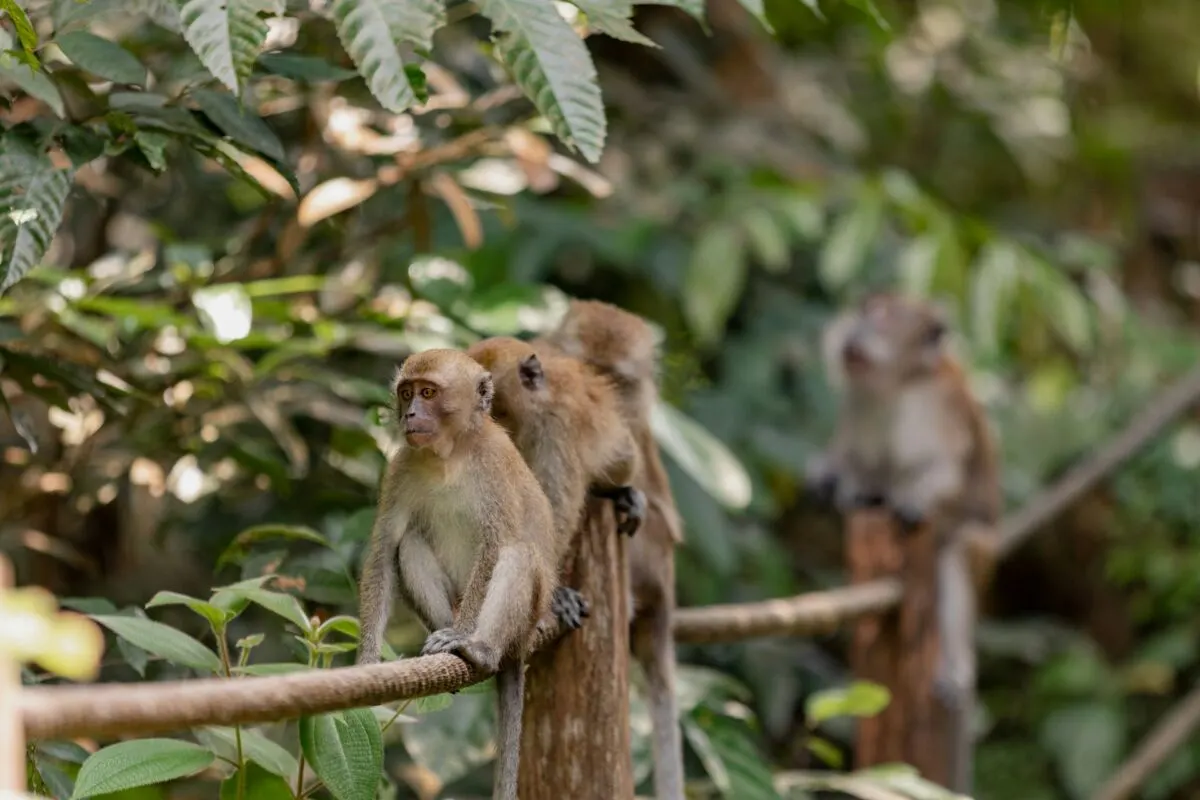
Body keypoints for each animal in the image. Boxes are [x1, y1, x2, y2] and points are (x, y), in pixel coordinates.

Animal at [355, 348, 558, 800]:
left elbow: (495, 546)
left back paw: (477, 648)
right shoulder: (401, 466)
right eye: (407, 392)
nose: (411, 414)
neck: (450, 455)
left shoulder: (495, 464)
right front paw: (367, 661)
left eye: (429, 393)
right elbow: (384, 552)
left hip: (524, 619)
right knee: (409, 542)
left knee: (517, 554)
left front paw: (464, 635)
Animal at [805, 292, 1002, 794]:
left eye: (885, 316)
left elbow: (945, 472)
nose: (856, 330)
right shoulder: (858, 400)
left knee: (958, 553)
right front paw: (831, 481)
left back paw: (956, 664)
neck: (896, 385)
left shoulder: (938, 405)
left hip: (982, 551)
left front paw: (912, 497)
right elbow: (850, 459)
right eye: (864, 308)